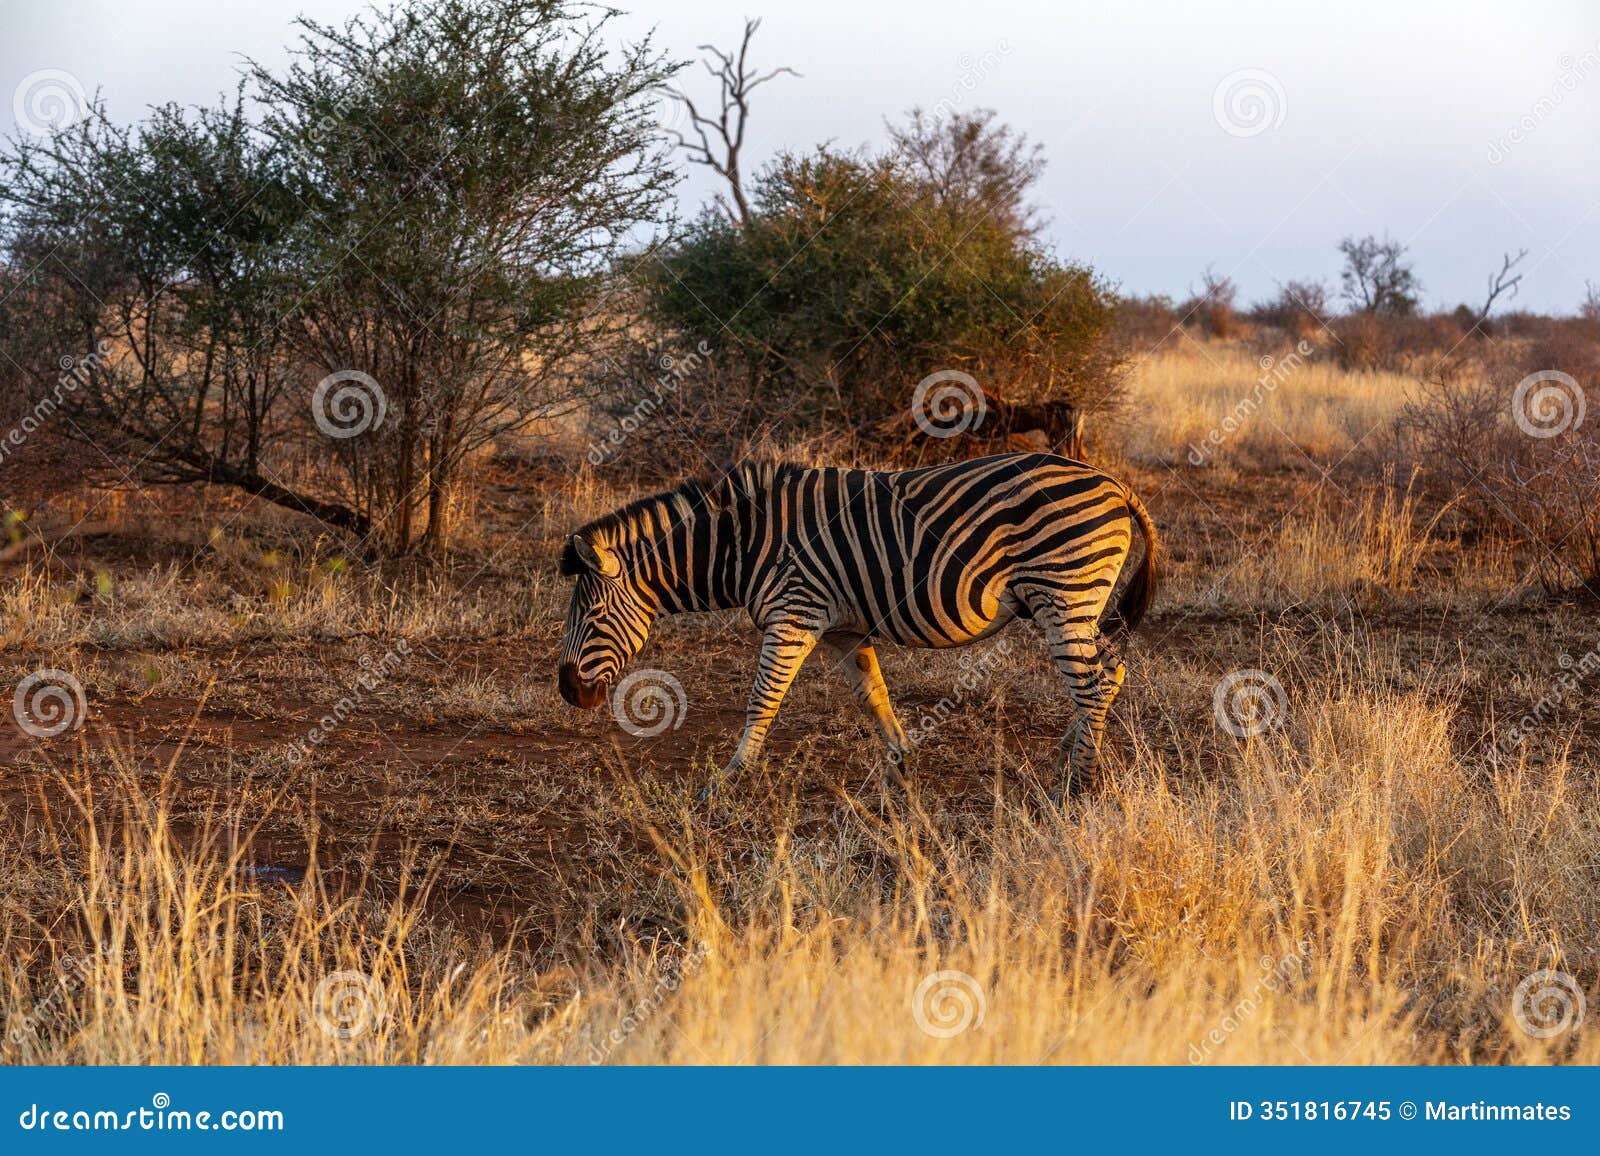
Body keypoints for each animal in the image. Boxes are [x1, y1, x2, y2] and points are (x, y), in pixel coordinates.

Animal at [557, 451, 1158, 798]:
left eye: (592, 615)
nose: (568, 693)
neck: (742, 545)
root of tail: (1113, 482)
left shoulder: (794, 614)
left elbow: (762, 701)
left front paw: (727, 781)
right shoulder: (843, 630)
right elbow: (875, 696)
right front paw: (899, 772)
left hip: (1063, 593)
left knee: (1092, 683)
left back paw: (1076, 786)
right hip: (1074, 600)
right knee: (1111, 670)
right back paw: (1067, 759)